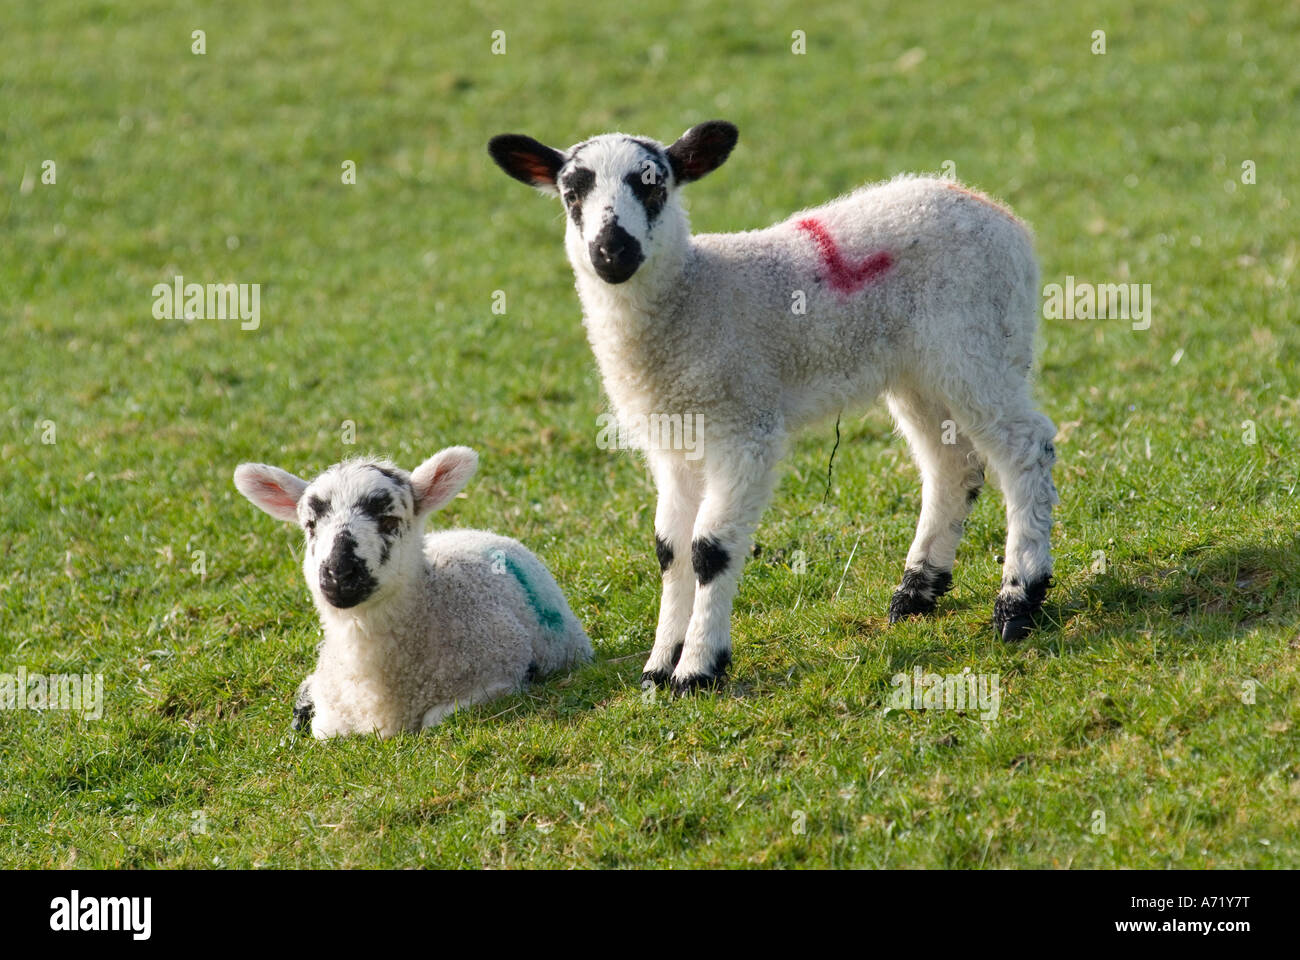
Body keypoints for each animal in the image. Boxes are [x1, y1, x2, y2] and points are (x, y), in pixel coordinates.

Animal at [233, 447, 592, 738]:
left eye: (389, 519)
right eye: (310, 526)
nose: (338, 574)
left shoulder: (502, 676)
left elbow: (436, 718)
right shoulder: (331, 718)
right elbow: (323, 730)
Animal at [487, 121, 1058, 694]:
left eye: (655, 185)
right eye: (571, 193)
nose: (613, 251)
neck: (693, 297)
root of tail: (996, 211)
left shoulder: (744, 429)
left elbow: (708, 550)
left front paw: (697, 669)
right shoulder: (672, 441)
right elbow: (669, 550)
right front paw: (658, 667)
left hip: (976, 342)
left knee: (1025, 448)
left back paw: (1018, 601)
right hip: (916, 370)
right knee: (951, 466)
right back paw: (915, 593)